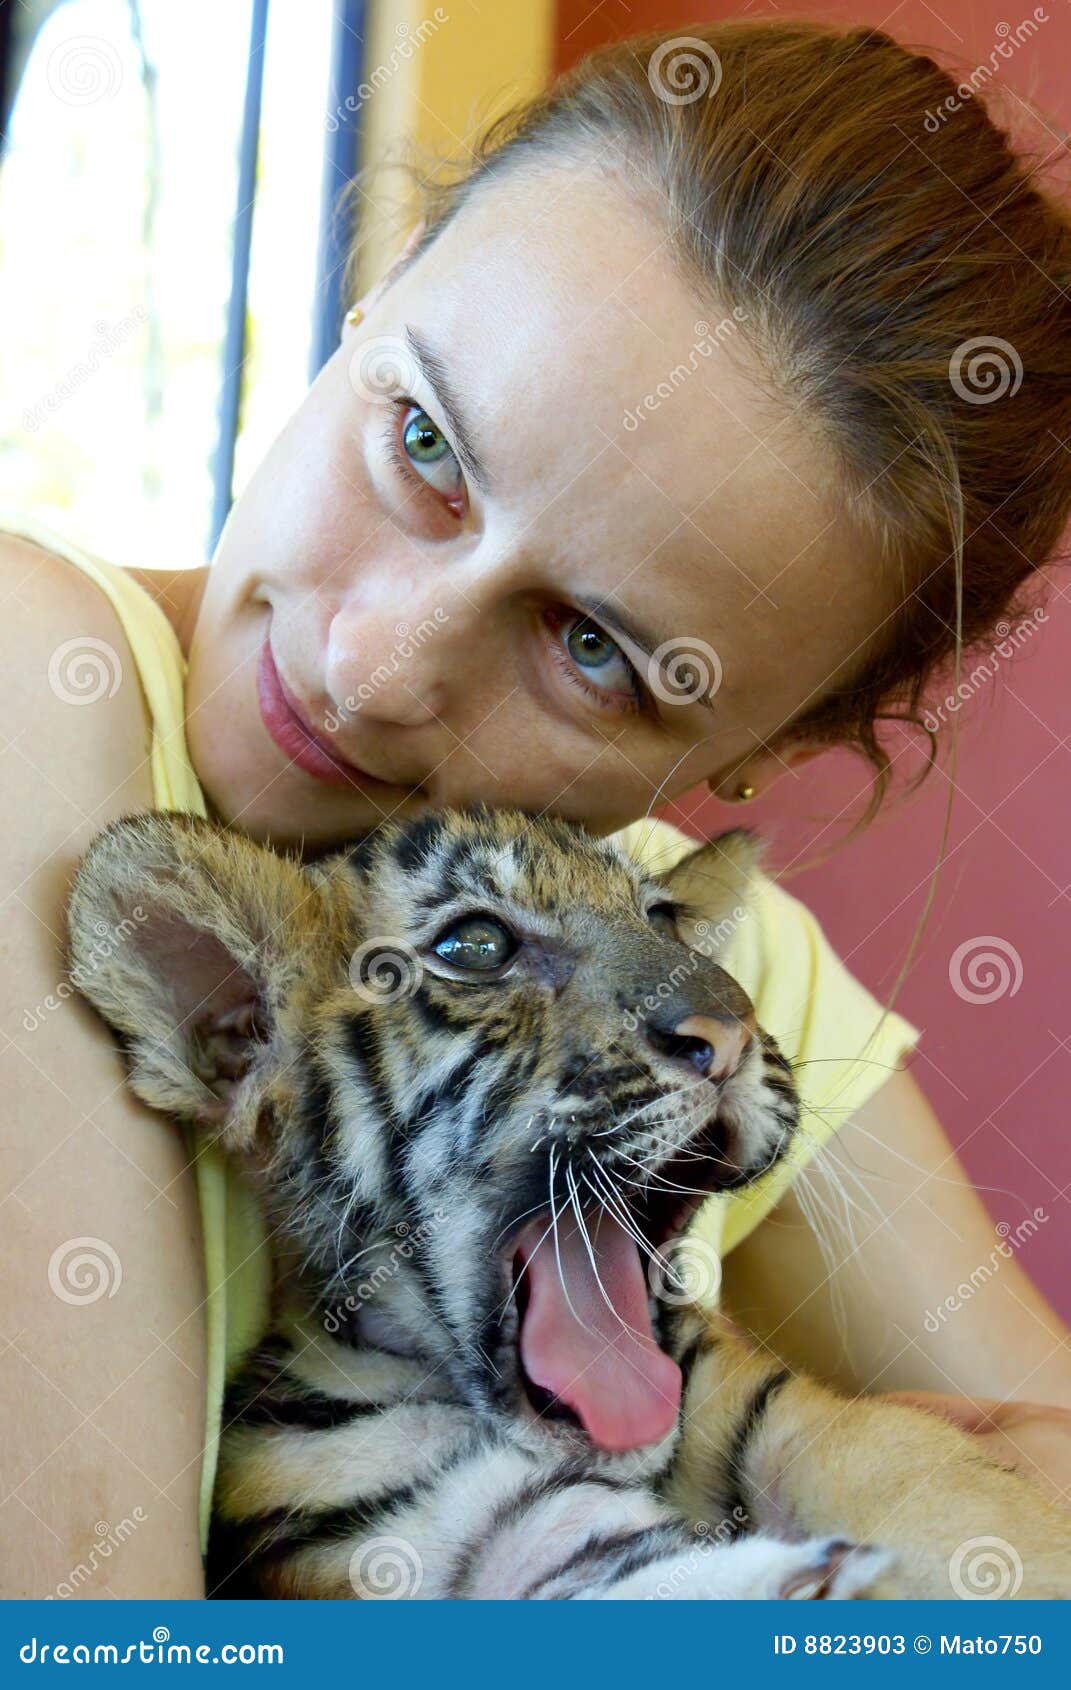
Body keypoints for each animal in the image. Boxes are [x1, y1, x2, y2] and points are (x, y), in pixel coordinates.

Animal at [67, 807, 1071, 1600]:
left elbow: (958, 1515)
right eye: (476, 946)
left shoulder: (817, 1427)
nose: (730, 1028)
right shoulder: (462, 1533)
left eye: (664, 921)